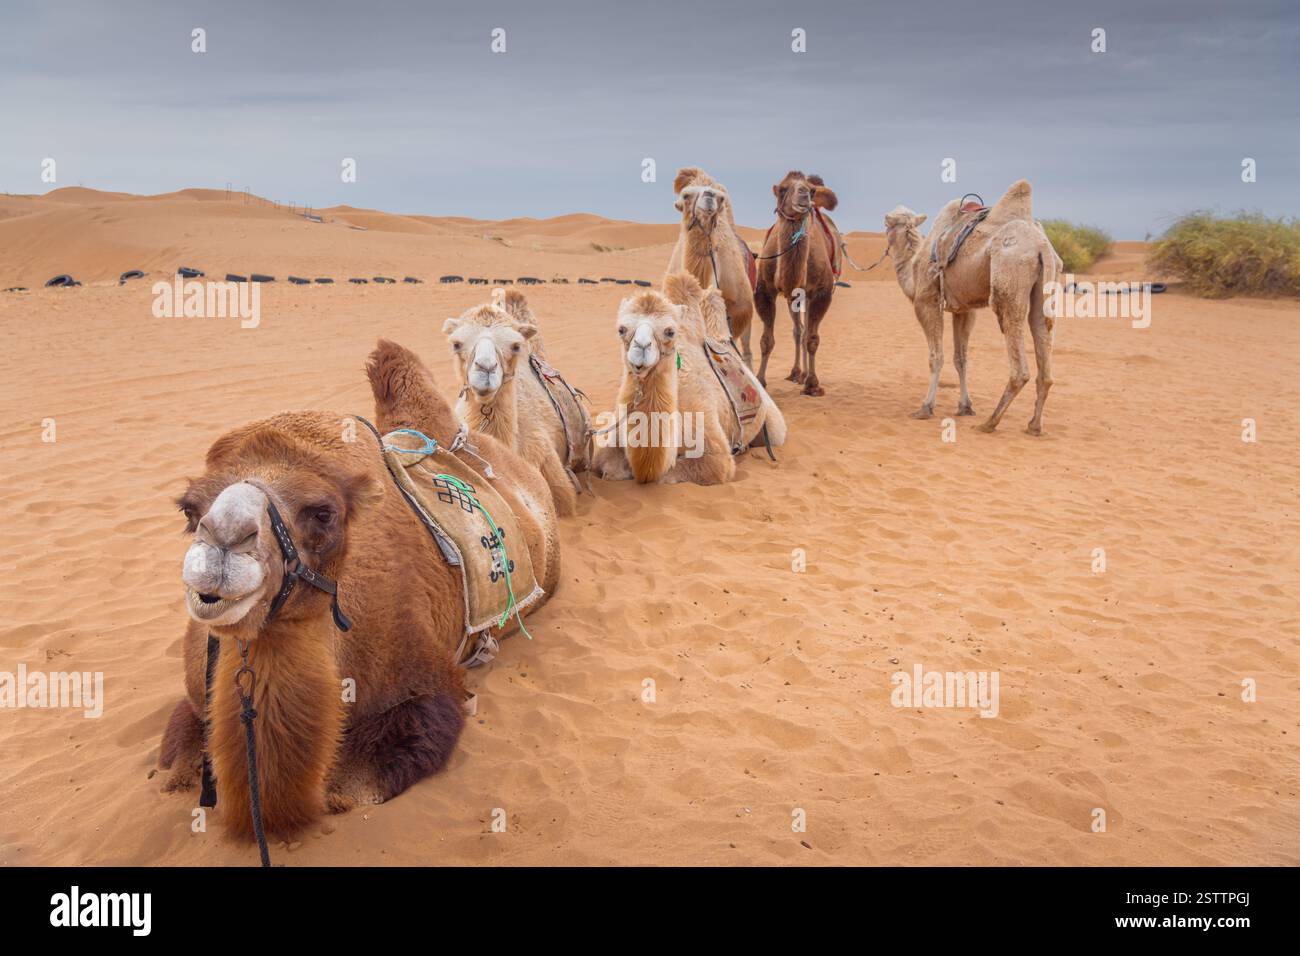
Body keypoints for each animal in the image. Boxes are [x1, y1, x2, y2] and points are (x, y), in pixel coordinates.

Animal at [156, 339, 561, 840]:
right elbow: (176, 762)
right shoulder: (196, 697)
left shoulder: (423, 686)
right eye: (189, 510)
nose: (223, 543)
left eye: (323, 513)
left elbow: (352, 788)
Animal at [591, 272, 786, 485]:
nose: (641, 348)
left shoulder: (715, 454)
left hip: (771, 424)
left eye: (670, 331)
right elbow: (609, 468)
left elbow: (666, 476)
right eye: (621, 329)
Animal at [755, 171, 842, 396]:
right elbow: (766, 340)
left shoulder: (821, 293)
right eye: (783, 189)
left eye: (811, 190)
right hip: (793, 297)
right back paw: (796, 373)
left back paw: (803, 375)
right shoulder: (764, 291)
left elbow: (812, 339)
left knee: (804, 332)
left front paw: (812, 384)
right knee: (798, 330)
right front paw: (760, 380)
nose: (803, 194)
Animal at [883, 179, 1062, 434]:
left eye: (887, 224)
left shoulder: (927, 301)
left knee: (1017, 354)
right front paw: (965, 407)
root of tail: (1042, 246)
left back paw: (990, 422)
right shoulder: (964, 309)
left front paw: (925, 408)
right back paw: (1034, 425)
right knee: (1042, 334)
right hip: (1048, 282)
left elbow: (936, 357)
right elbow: (961, 358)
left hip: (1010, 275)